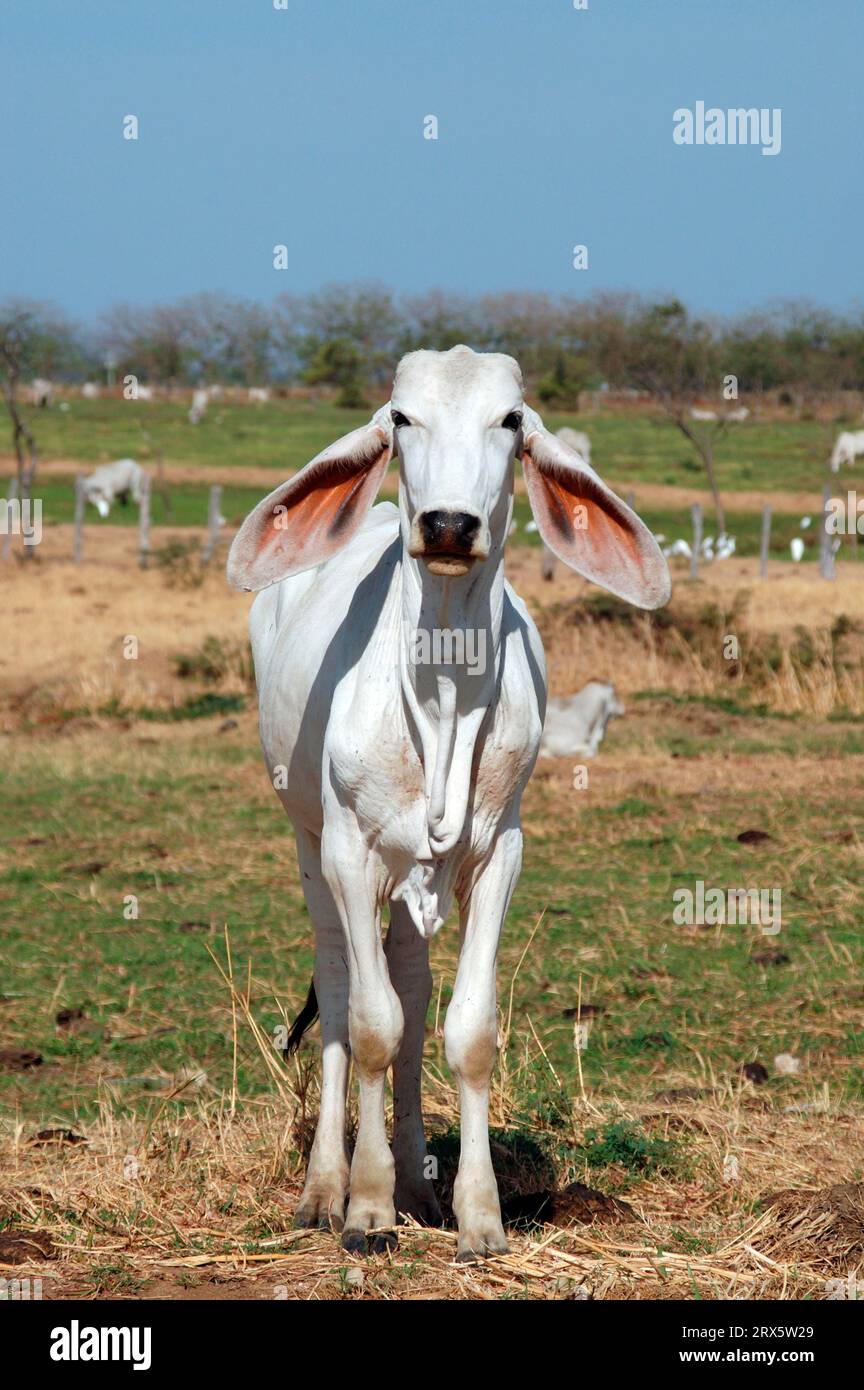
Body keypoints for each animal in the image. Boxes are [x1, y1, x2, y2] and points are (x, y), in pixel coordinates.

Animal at [228, 346, 669, 1259]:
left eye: (511, 419)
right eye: (401, 417)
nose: (448, 525)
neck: (440, 690)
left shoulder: (502, 852)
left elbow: (463, 1031)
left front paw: (476, 1214)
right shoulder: (350, 850)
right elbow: (368, 1025)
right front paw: (364, 1210)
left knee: (413, 983)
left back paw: (413, 1184)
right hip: (309, 841)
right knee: (342, 989)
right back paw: (327, 1188)